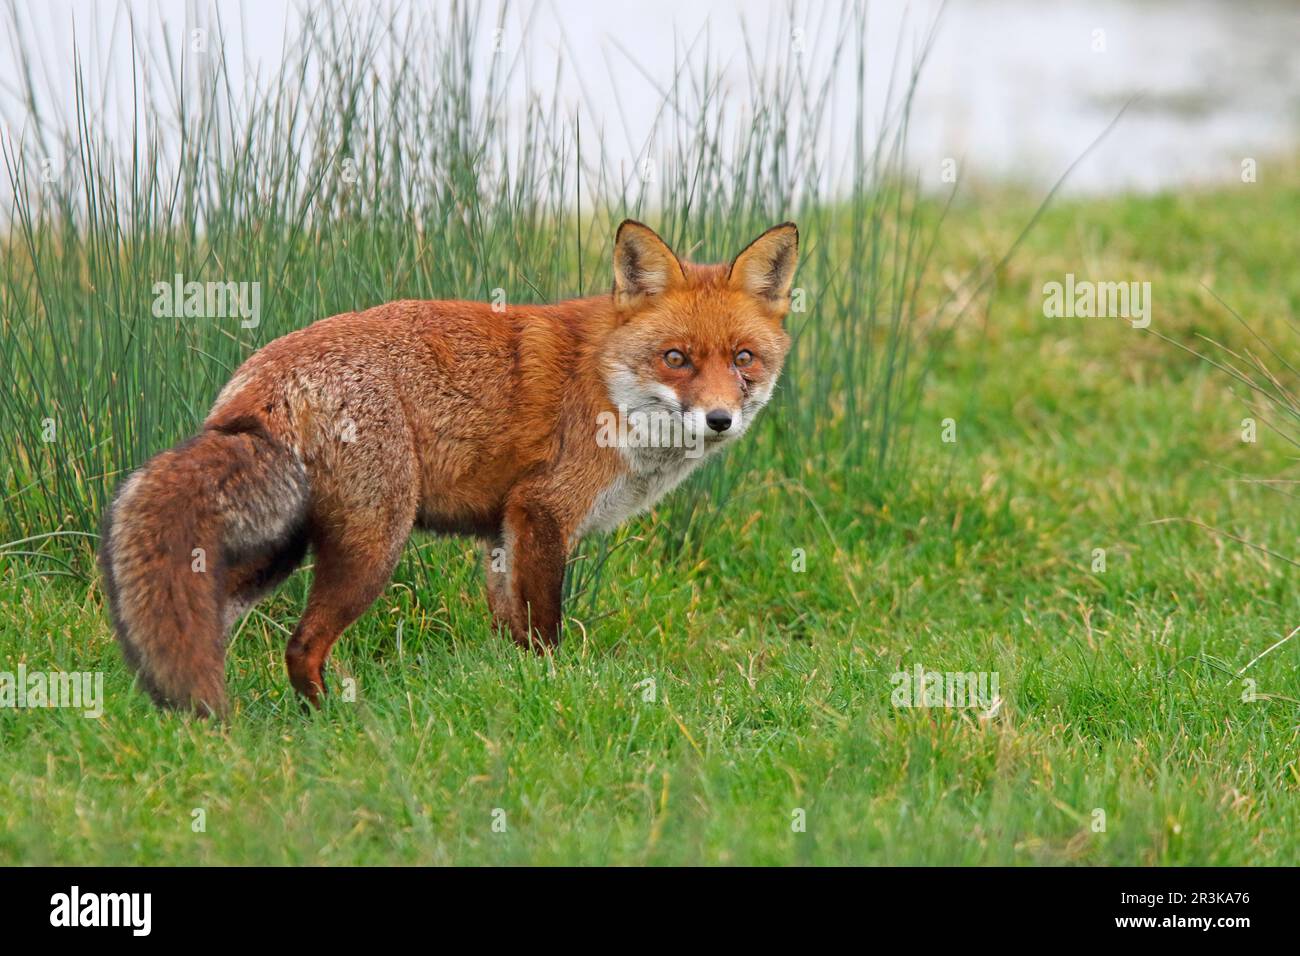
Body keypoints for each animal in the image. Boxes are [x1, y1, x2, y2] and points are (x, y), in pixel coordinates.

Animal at [99, 220, 799, 716]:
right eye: (676, 358)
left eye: (743, 359)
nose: (719, 419)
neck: (608, 383)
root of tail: (264, 375)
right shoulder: (545, 510)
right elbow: (546, 630)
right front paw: (556, 690)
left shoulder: (504, 533)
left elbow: (512, 629)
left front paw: (524, 690)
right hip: (371, 546)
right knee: (301, 647)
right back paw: (332, 722)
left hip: (278, 548)